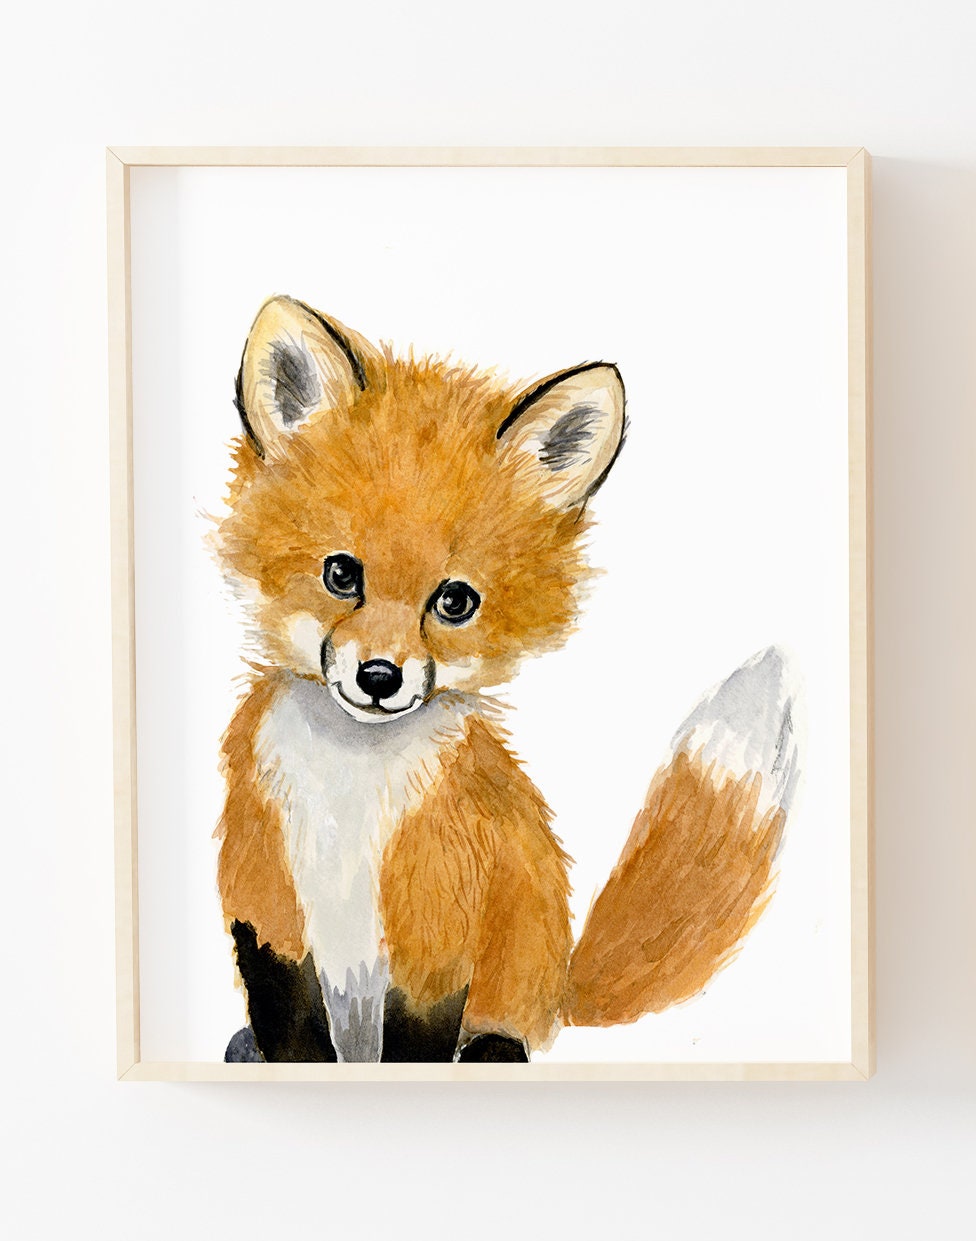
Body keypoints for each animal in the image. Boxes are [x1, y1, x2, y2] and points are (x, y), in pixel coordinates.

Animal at [214, 294, 800, 1064]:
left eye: (455, 601)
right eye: (341, 573)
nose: (379, 676)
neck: (350, 793)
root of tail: (559, 983)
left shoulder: (438, 928)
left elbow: (418, 1047)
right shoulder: (266, 903)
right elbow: (291, 1032)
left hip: (510, 986)